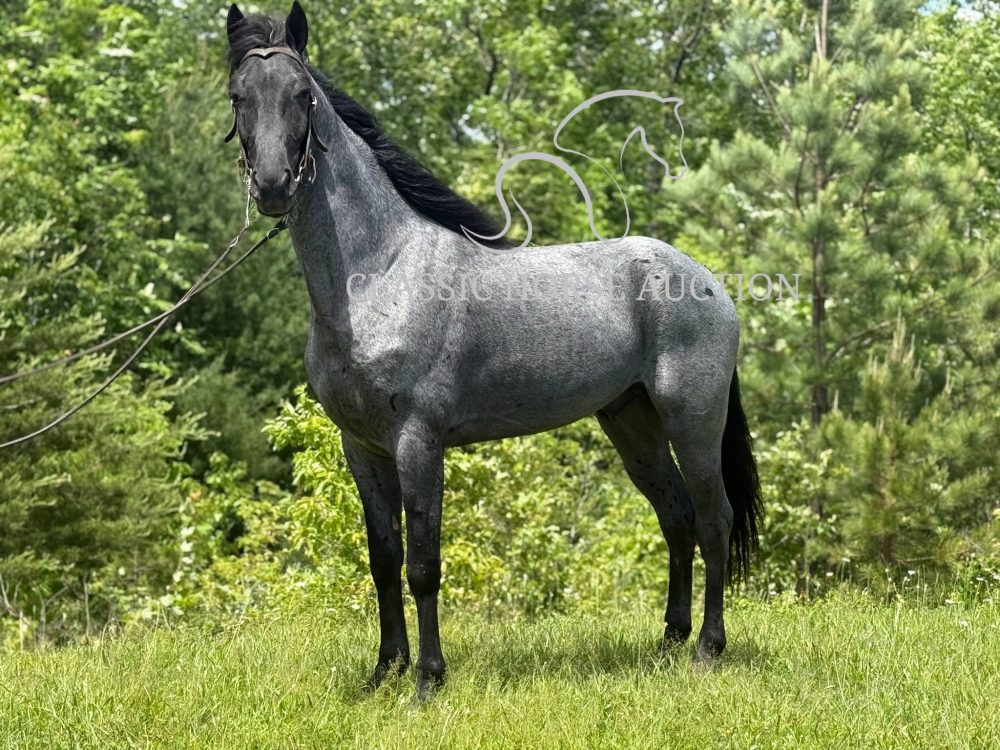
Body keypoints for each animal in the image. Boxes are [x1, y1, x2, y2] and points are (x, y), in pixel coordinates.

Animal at [224, 2, 762, 699]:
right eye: (238, 95)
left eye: (302, 96)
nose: (273, 186)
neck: (379, 273)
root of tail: (706, 281)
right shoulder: (361, 448)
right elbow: (382, 560)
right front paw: (383, 672)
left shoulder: (417, 442)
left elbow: (423, 565)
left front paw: (427, 681)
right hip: (631, 421)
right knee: (677, 518)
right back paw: (668, 642)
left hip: (692, 420)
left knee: (714, 518)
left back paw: (707, 649)